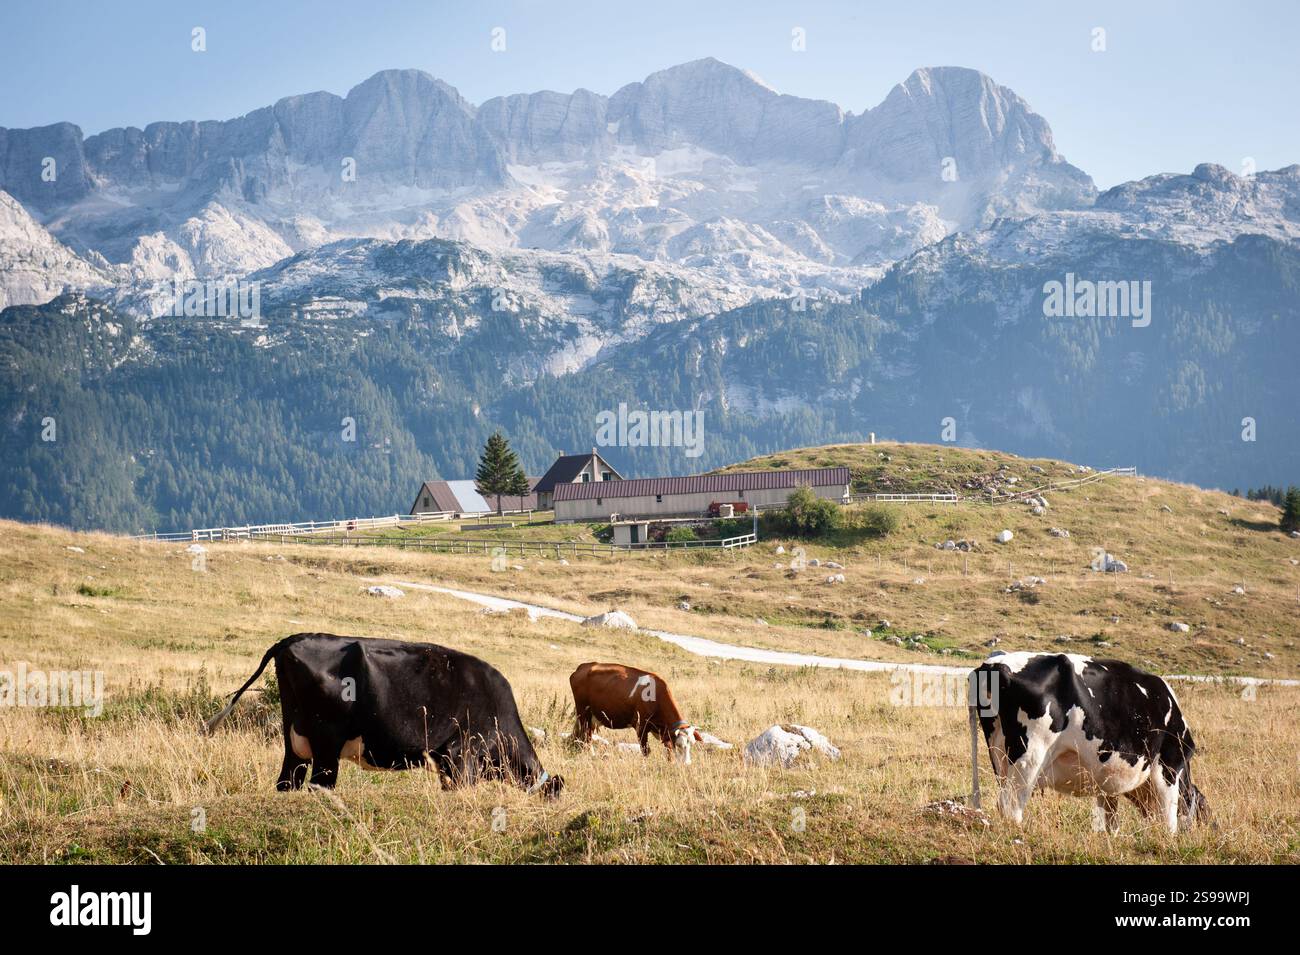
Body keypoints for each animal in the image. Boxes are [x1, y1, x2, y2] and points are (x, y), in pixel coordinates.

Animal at [203, 633, 563, 797]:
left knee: (287, 783)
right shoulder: (461, 755)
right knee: (320, 785)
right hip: (326, 743)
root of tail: (295, 638)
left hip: (295, 742)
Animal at [569, 662, 702, 763]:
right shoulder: (641, 727)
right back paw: (591, 754)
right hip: (583, 713)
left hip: (592, 718)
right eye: (679, 745)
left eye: (692, 744)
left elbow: (668, 750)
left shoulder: (664, 733)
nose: (687, 764)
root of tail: (583, 666)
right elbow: (646, 750)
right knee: (586, 737)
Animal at [969, 651, 1210, 833]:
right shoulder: (1169, 766)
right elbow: (1169, 816)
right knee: (1011, 806)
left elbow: (1110, 819)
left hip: (999, 754)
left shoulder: (1109, 781)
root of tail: (995, 665)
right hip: (1029, 756)